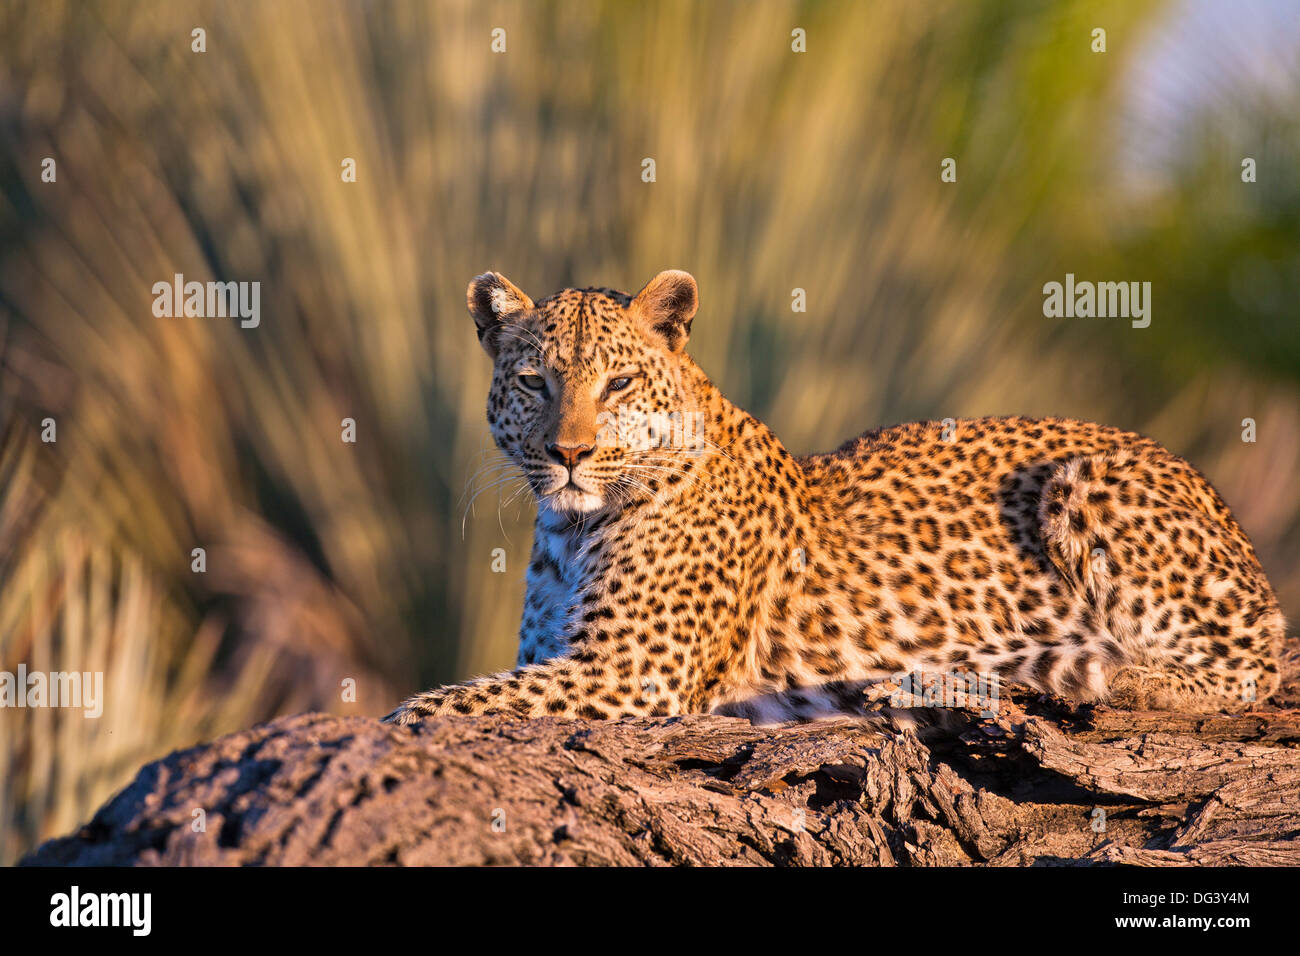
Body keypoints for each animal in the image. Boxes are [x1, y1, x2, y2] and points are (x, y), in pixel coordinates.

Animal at [384, 269, 1286, 724]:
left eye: (618, 383)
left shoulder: (631, 672)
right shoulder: (565, 657)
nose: (568, 454)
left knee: (1248, 672)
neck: (570, 530)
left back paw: (1105, 676)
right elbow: (476, 690)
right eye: (534, 382)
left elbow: (448, 703)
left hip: (1092, 477)